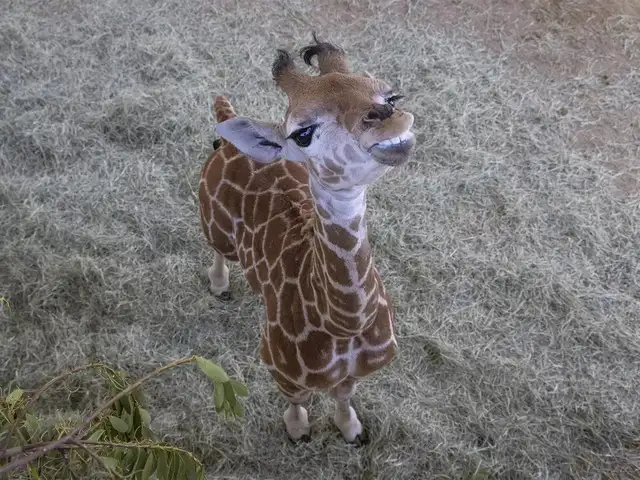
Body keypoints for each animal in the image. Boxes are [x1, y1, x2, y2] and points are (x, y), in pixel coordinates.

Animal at [198, 34, 416, 444]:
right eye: (303, 133)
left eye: (391, 96)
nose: (389, 120)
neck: (344, 326)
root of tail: (225, 122)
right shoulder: (280, 367)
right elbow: (297, 401)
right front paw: (299, 431)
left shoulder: (357, 373)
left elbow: (344, 395)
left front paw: (352, 430)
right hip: (212, 224)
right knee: (218, 252)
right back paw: (220, 287)